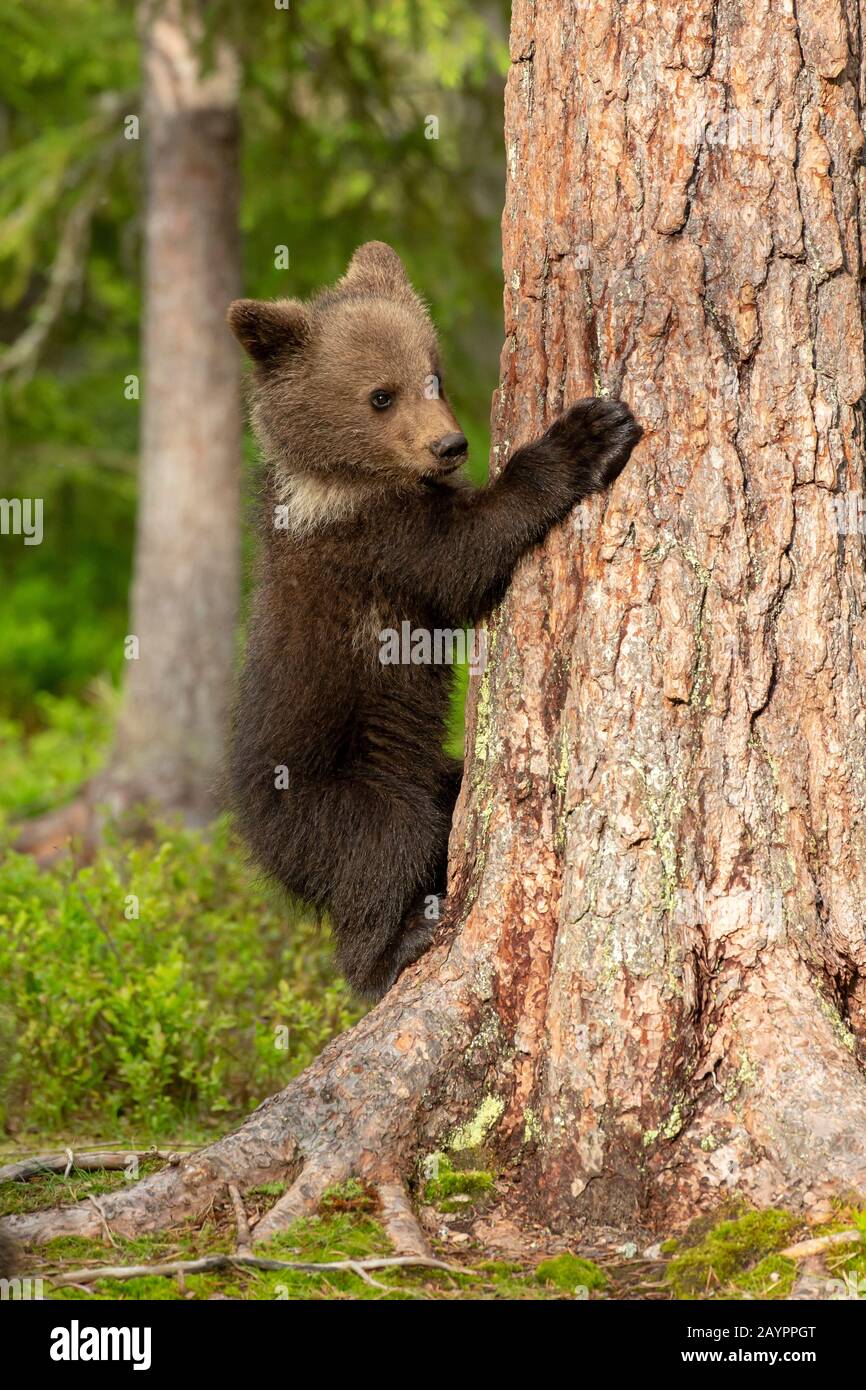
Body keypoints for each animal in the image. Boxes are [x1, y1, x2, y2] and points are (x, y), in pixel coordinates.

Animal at [227, 242, 641, 1000]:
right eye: (380, 394)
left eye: (434, 375)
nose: (450, 445)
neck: (338, 479)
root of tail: (252, 839)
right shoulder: (372, 544)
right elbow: (465, 554)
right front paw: (588, 434)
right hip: (334, 796)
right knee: (384, 847)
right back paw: (394, 948)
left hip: (420, 774)